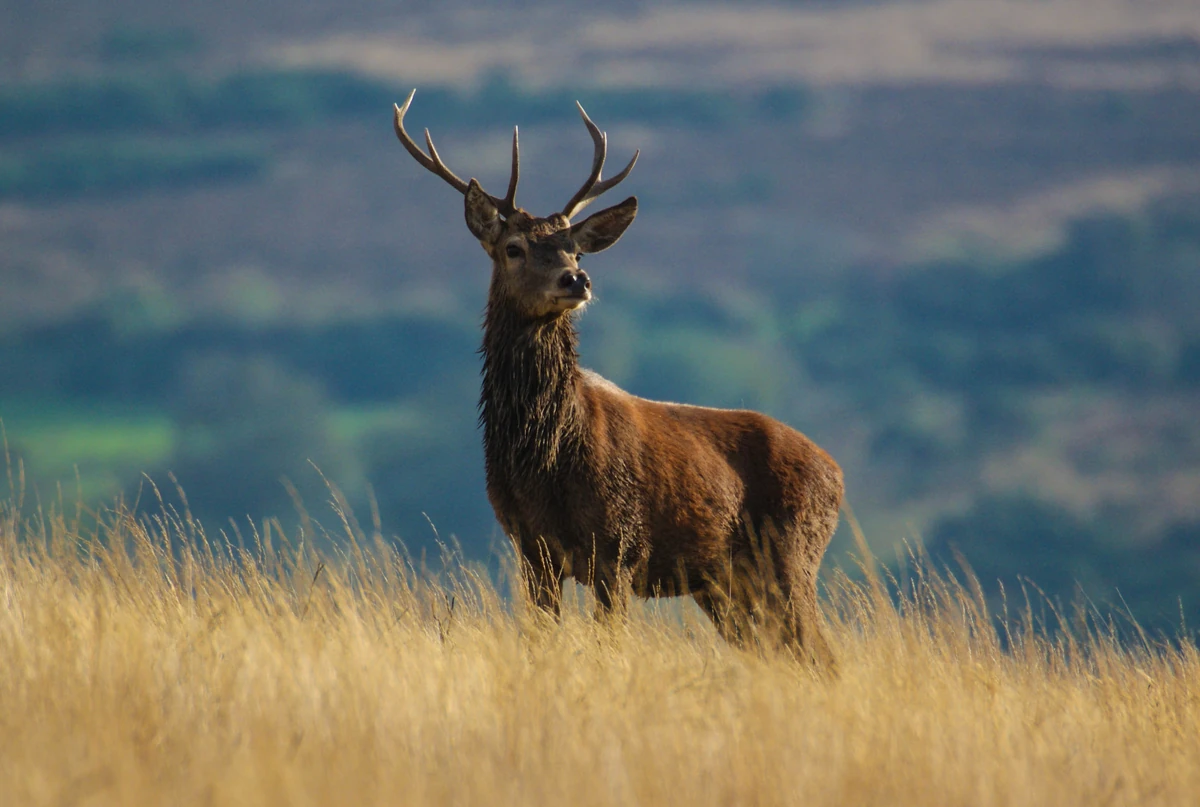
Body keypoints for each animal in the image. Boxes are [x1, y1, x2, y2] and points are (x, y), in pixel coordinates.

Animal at [392, 90, 843, 668]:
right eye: (514, 247)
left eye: (576, 250)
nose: (576, 279)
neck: (544, 459)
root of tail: (836, 473)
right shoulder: (532, 549)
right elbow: (539, 641)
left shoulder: (621, 543)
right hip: (724, 587)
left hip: (789, 555)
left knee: (821, 655)